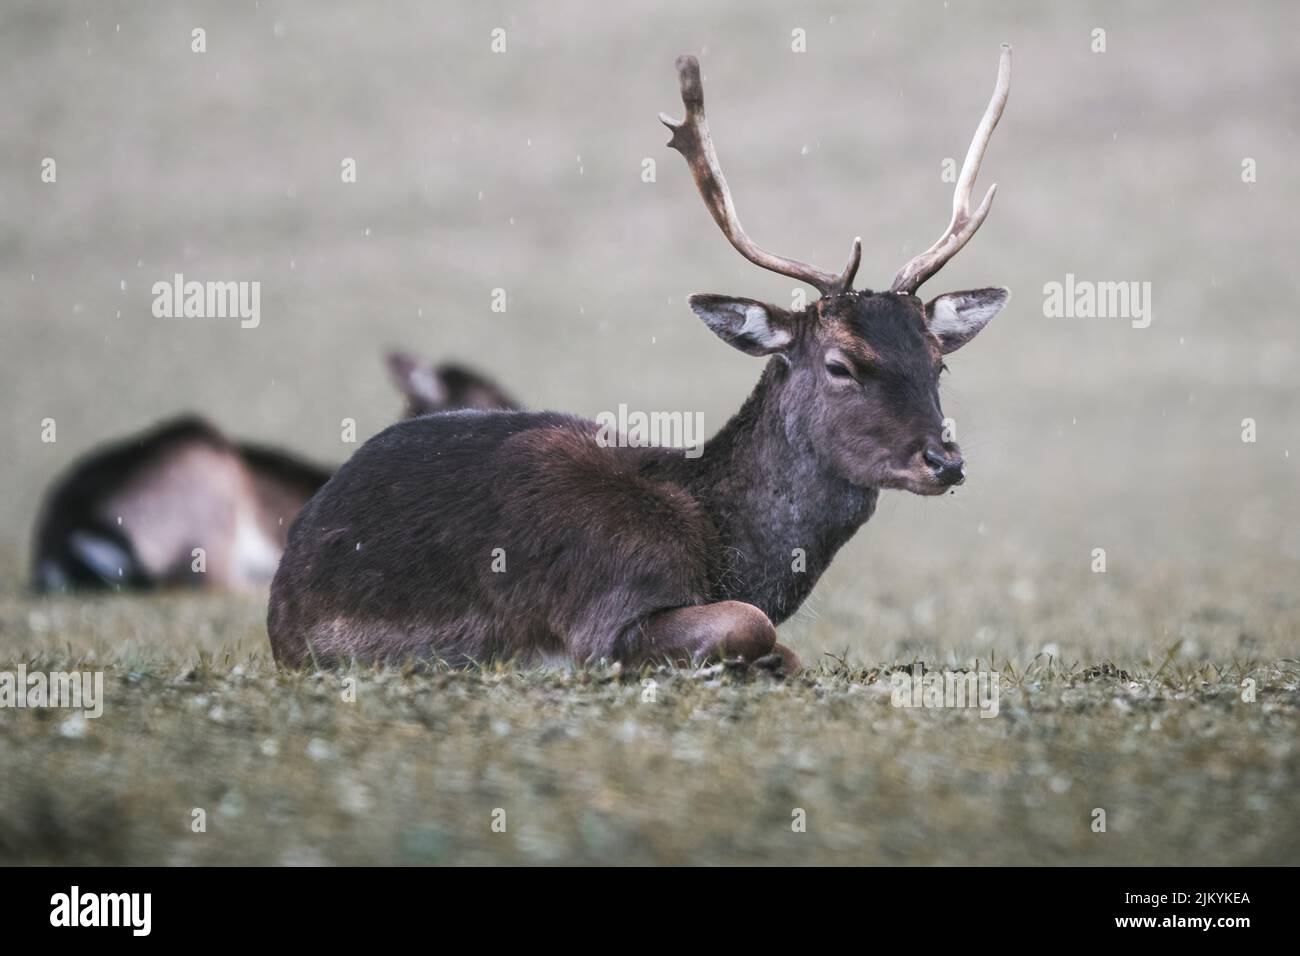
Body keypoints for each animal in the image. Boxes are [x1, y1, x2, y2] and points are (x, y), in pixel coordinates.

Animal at [267, 46, 1012, 674]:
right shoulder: (601, 616)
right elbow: (752, 623)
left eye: (938, 362)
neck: (718, 543)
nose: (945, 460)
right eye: (840, 364)